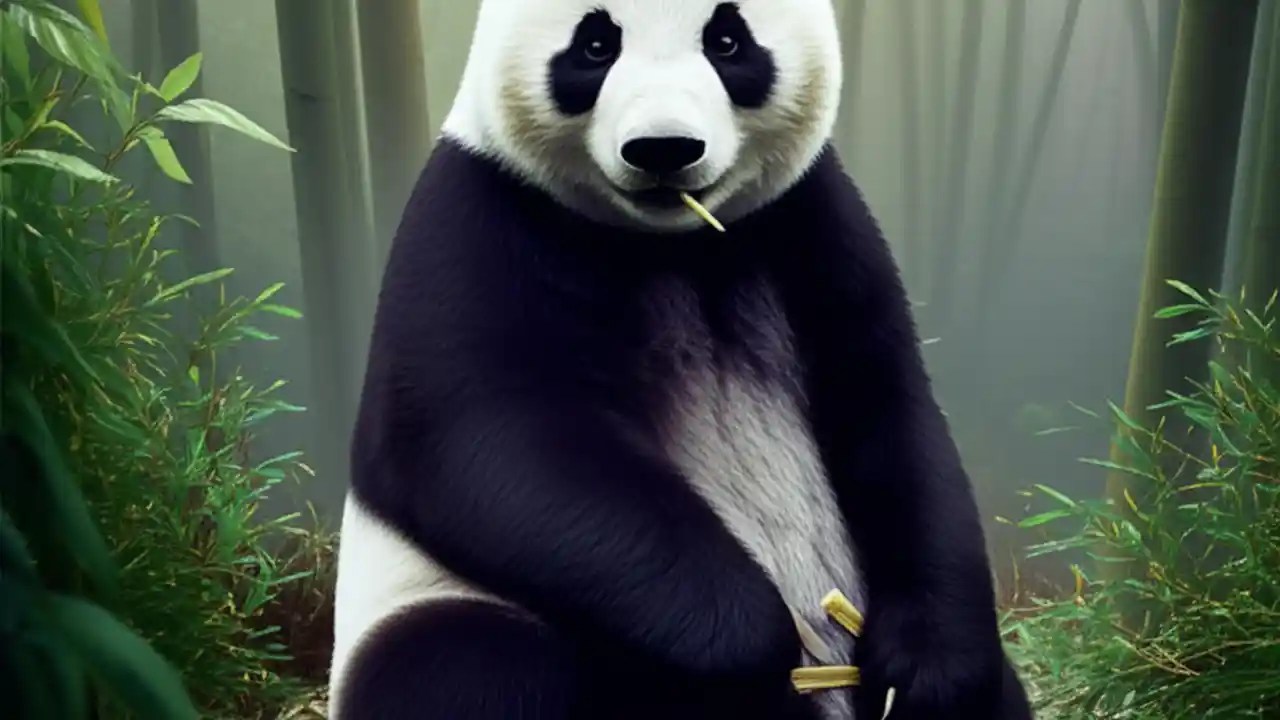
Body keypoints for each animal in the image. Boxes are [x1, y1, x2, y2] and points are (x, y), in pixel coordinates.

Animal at [328, 1, 1034, 718]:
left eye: (726, 40)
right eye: (595, 45)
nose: (663, 148)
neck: (671, 242)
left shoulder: (810, 214)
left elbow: (888, 410)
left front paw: (921, 670)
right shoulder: (479, 212)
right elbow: (486, 435)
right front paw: (756, 657)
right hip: (436, 603)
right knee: (466, 667)